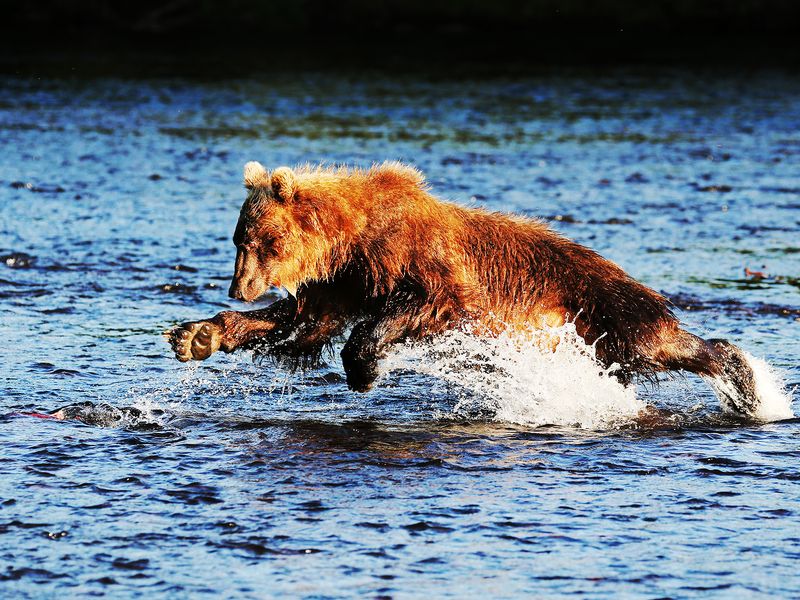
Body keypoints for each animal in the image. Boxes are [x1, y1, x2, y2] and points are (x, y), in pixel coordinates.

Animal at [168, 161, 763, 416]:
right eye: (237, 239)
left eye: (256, 241)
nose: (238, 287)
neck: (349, 240)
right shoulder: (346, 282)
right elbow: (302, 323)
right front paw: (196, 335)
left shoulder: (413, 261)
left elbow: (428, 301)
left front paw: (363, 370)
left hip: (603, 309)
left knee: (658, 340)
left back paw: (748, 383)